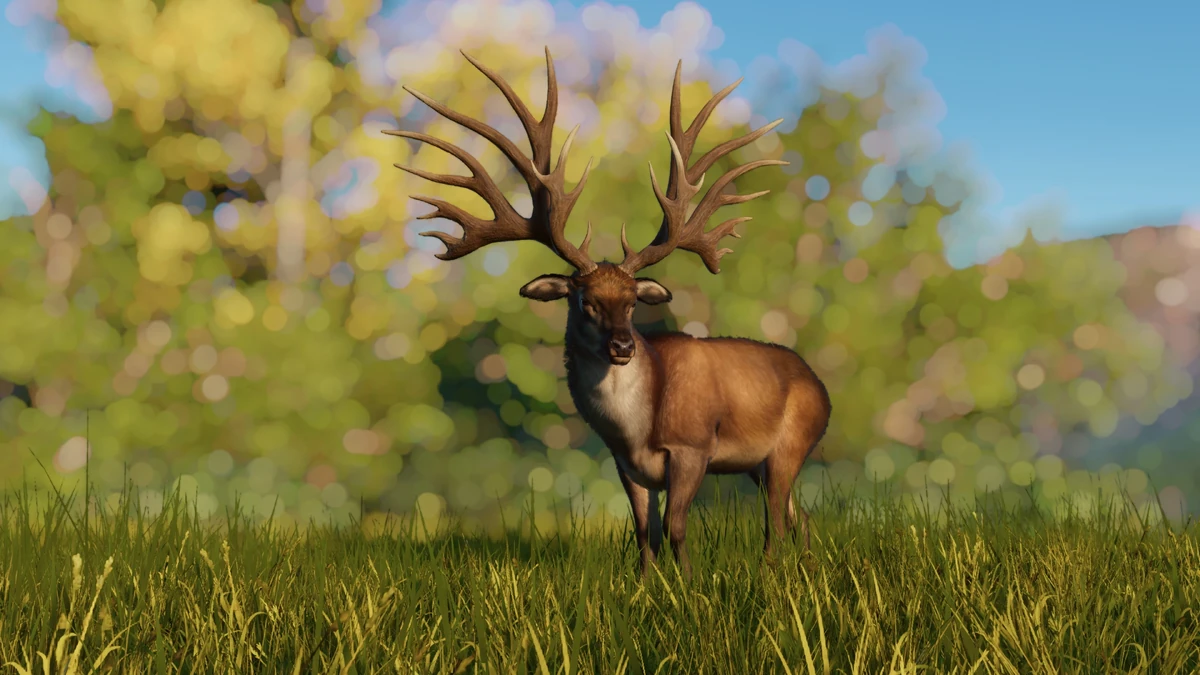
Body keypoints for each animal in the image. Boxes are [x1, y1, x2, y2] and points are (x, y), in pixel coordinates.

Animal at [388, 48, 831, 579]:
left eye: (634, 302)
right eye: (586, 301)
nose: (622, 346)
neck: (636, 427)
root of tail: (821, 386)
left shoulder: (693, 447)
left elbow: (677, 528)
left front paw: (690, 584)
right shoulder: (624, 462)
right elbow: (644, 532)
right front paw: (645, 584)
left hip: (791, 443)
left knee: (777, 524)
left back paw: (771, 573)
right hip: (760, 464)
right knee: (800, 518)